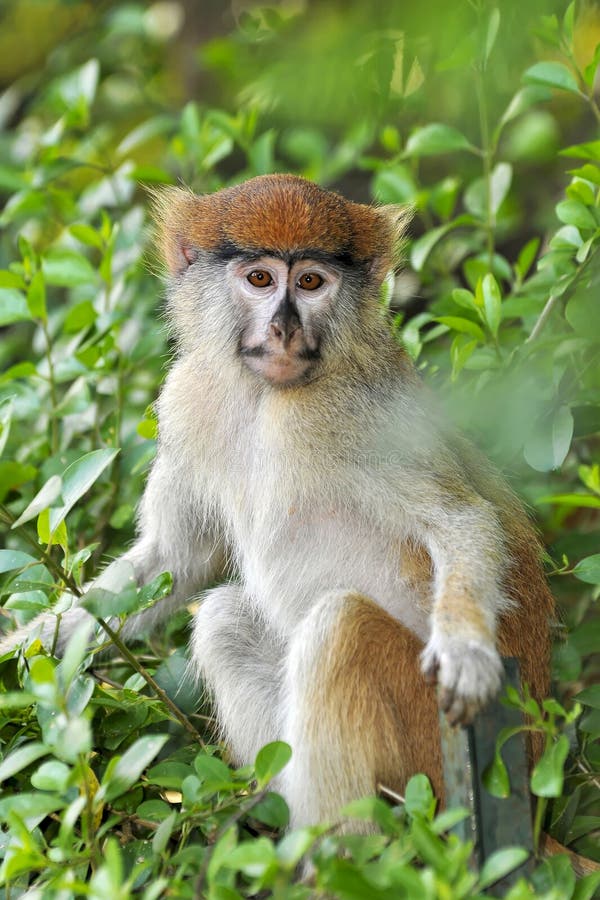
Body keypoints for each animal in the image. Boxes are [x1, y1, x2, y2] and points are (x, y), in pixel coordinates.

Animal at [0, 174, 554, 829]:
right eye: (260, 278)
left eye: (311, 282)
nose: (285, 329)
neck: (269, 395)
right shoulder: (187, 399)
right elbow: (174, 561)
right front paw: (17, 654)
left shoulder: (361, 419)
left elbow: (461, 519)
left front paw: (466, 653)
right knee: (223, 618)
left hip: (426, 750)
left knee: (338, 628)